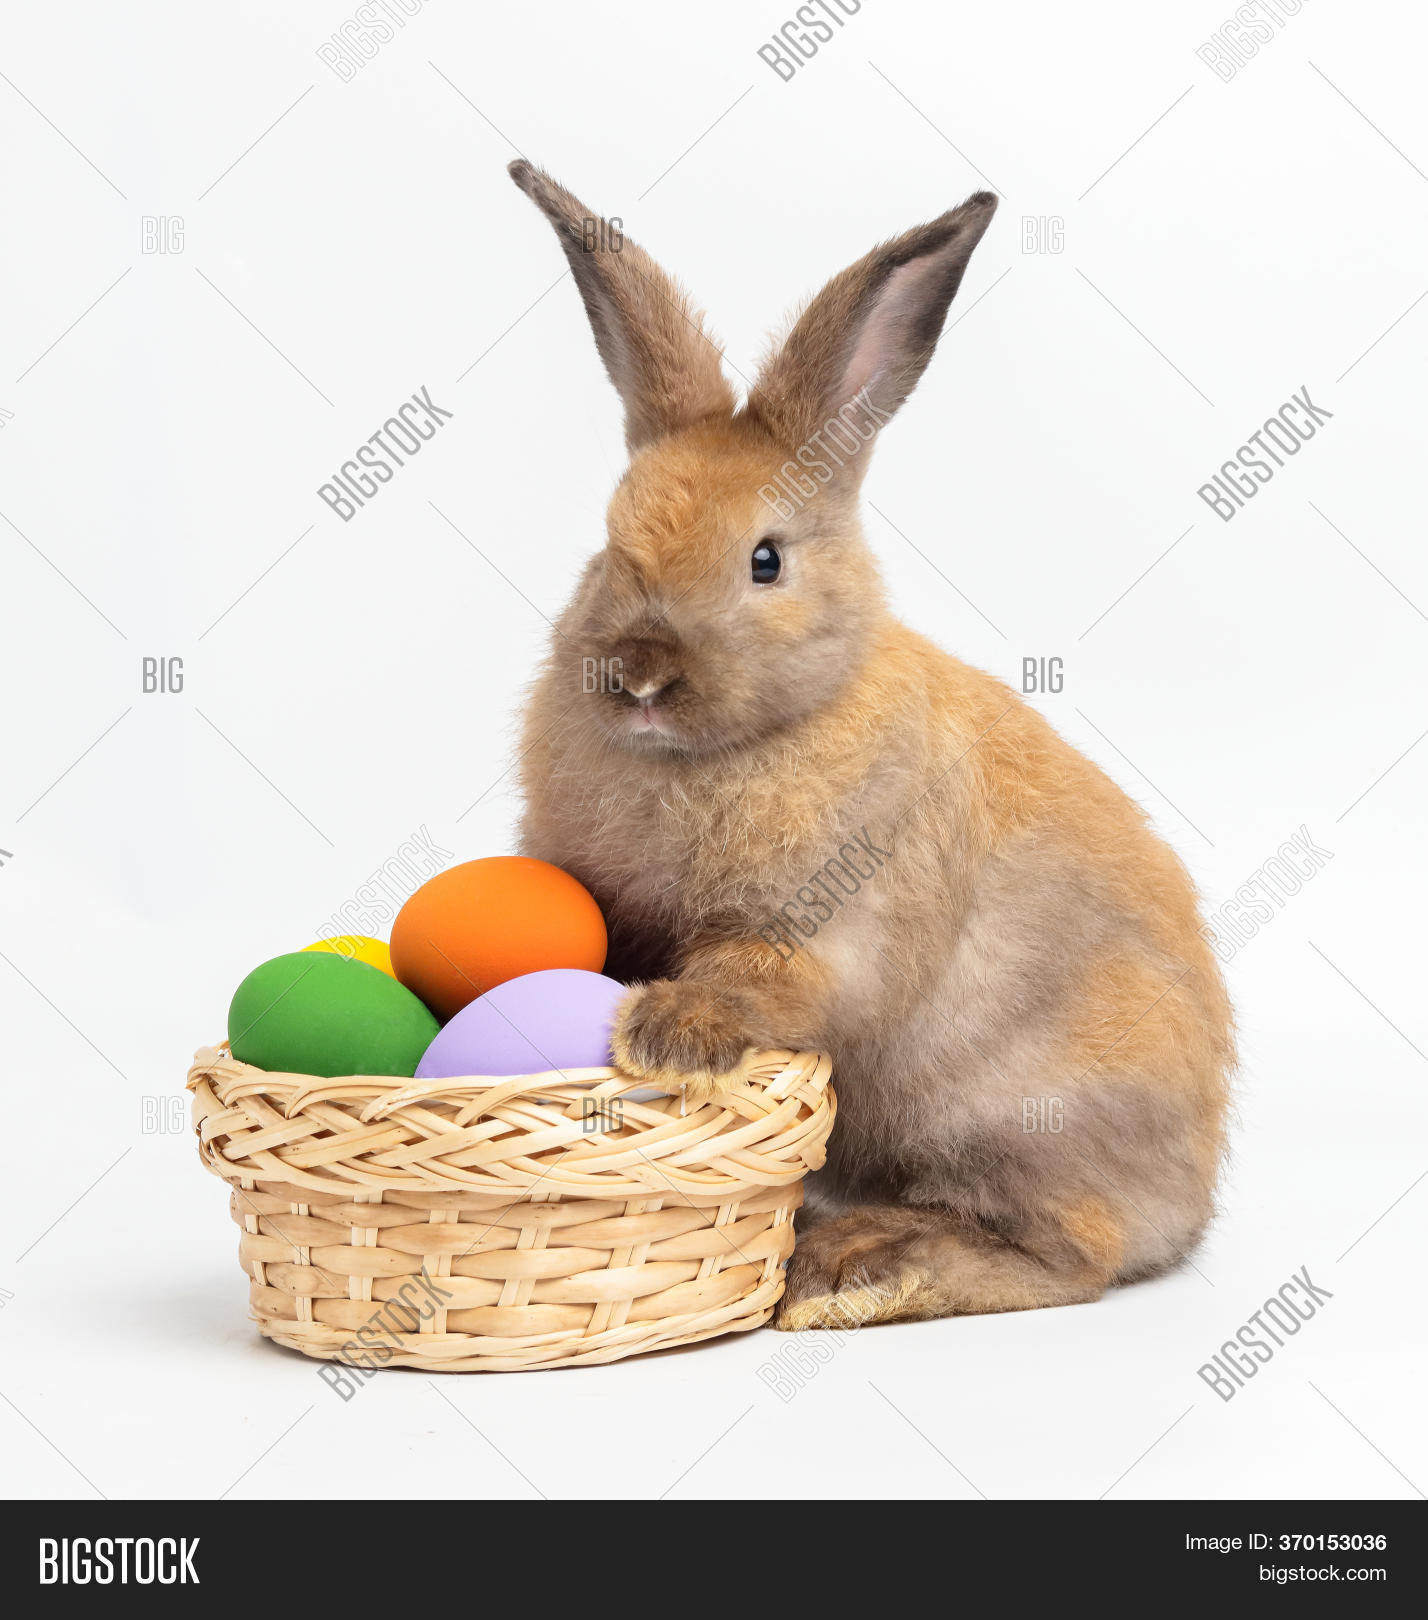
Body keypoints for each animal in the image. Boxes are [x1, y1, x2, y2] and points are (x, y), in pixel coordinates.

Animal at [507, 160, 1234, 1330]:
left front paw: (668, 1035)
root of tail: (1194, 1206)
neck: (719, 750)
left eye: (765, 560)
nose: (642, 674)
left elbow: (767, 982)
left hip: (1013, 1126)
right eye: (609, 545)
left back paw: (857, 1269)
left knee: (1071, 1255)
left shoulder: (829, 932)